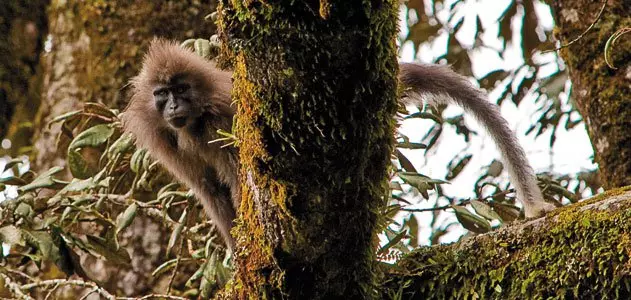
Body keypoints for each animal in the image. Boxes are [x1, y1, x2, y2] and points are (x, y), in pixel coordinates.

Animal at [121, 39, 556, 251]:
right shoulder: (166, 138)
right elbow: (210, 190)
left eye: (180, 89)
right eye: (161, 93)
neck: (193, 124)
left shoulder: (222, 121)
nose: (172, 105)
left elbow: (239, 180)